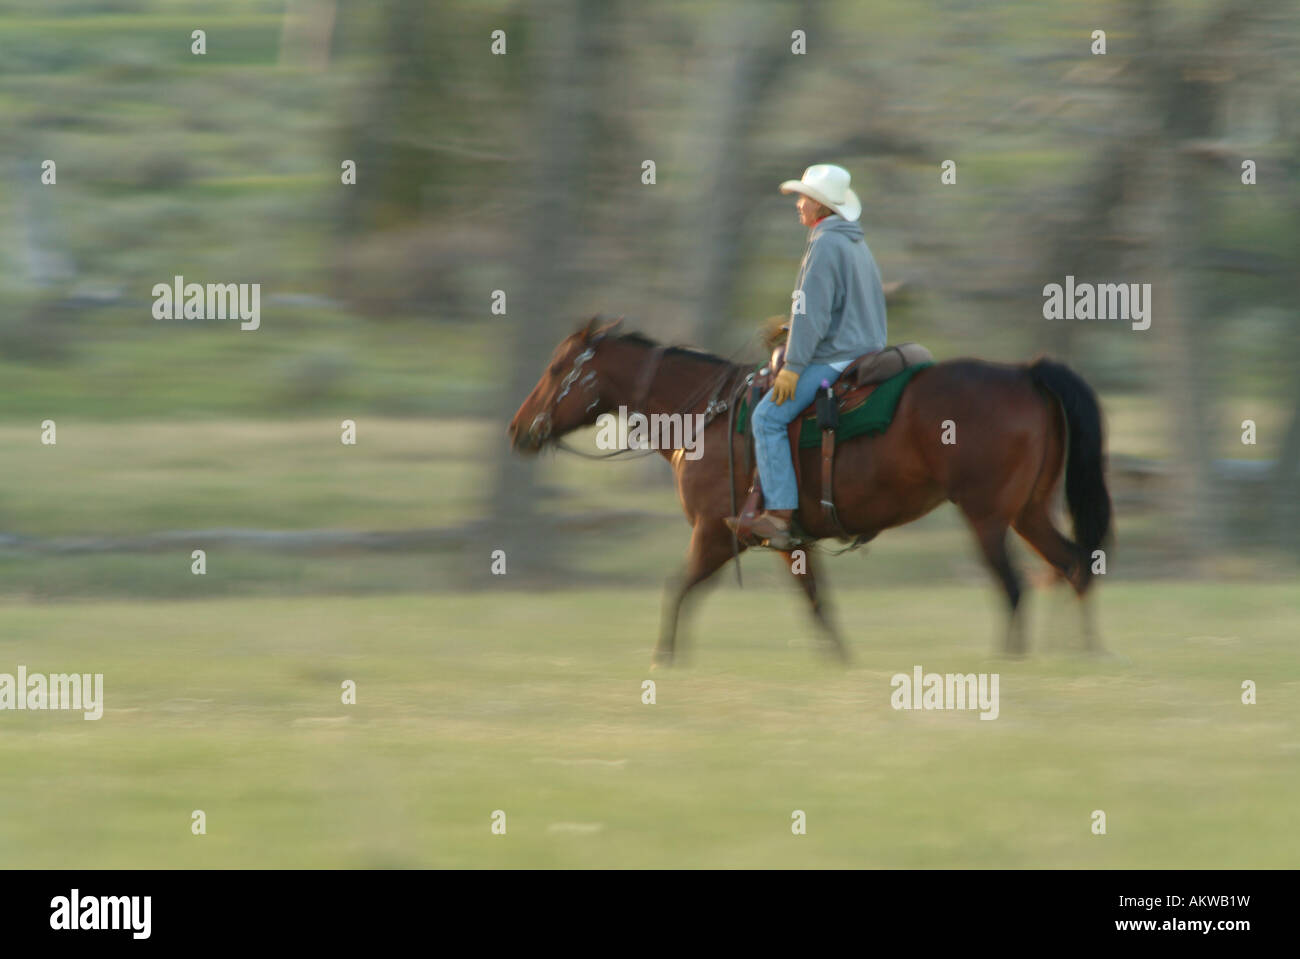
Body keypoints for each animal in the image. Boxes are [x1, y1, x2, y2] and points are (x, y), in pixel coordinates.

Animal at [508, 316, 1113, 665]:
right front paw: (841, 665)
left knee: (1015, 587)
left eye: (557, 368)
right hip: (1028, 512)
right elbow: (818, 605)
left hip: (987, 517)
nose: (518, 429)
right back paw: (1083, 658)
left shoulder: (713, 532)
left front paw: (663, 660)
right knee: (1074, 566)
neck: (705, 416)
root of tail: (1026, 373)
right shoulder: (789, 540)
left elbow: (678, 589)